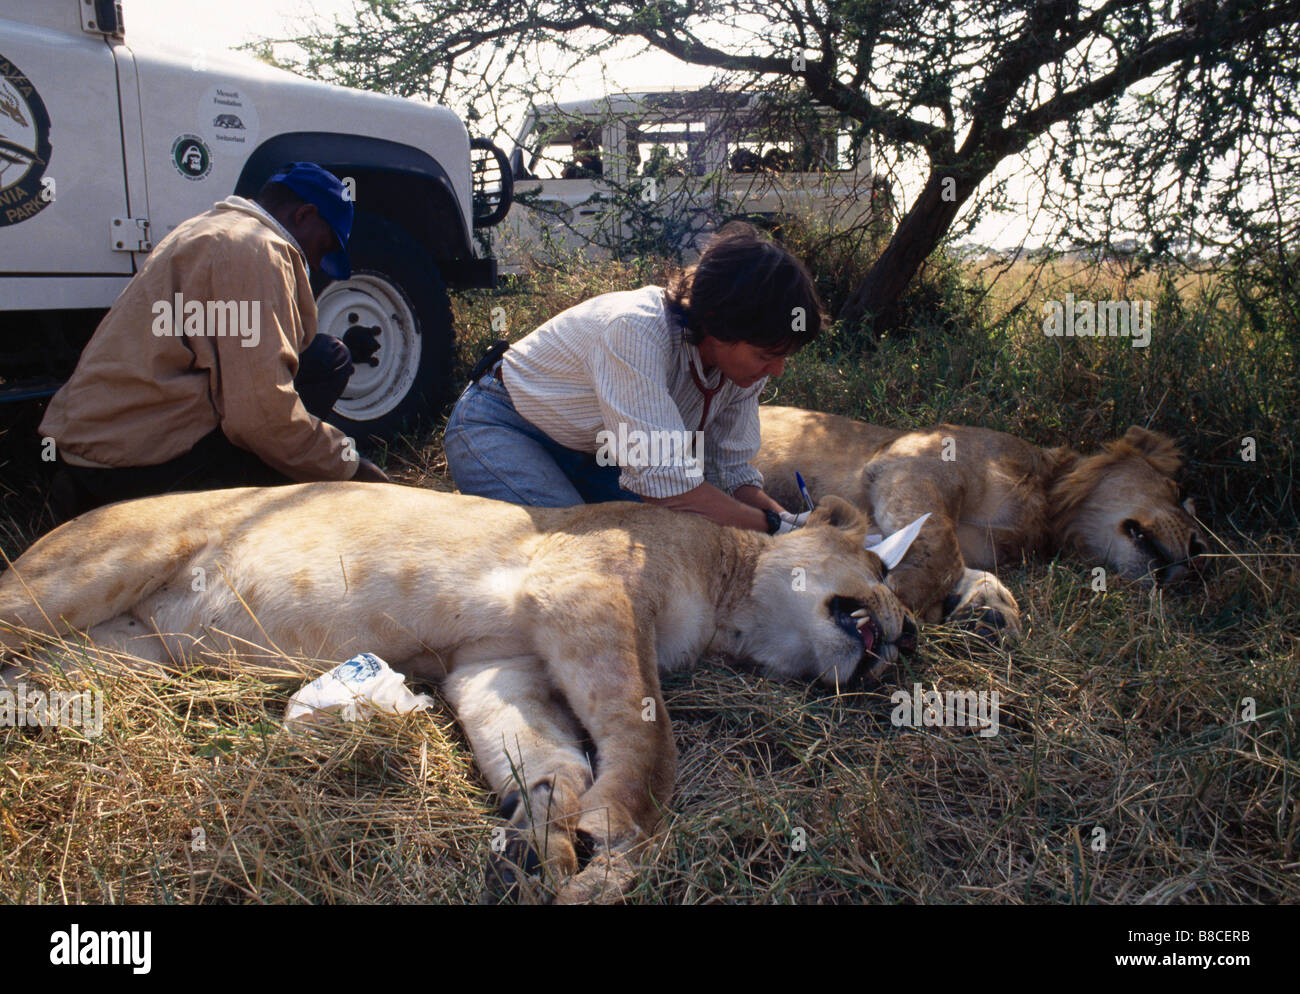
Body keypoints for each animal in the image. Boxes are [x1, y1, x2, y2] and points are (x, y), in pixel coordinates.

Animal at [0, 483, 919, 904]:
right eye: (878, 566)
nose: (908, 636)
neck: (730, 588)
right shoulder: (587, 589)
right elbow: (647, 732)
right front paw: (616, 841)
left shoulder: (497, 662)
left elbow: (549, 756)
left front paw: (539, 845)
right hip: (85, 575)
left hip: (113, 662)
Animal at [755, 406, 1207, 638]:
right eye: (1174, 490)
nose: (1201, 553)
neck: (1045, 504)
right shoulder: (913, 464)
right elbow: (939, 547)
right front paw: (886, 604)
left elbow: (947, 560)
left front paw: (989, 607)